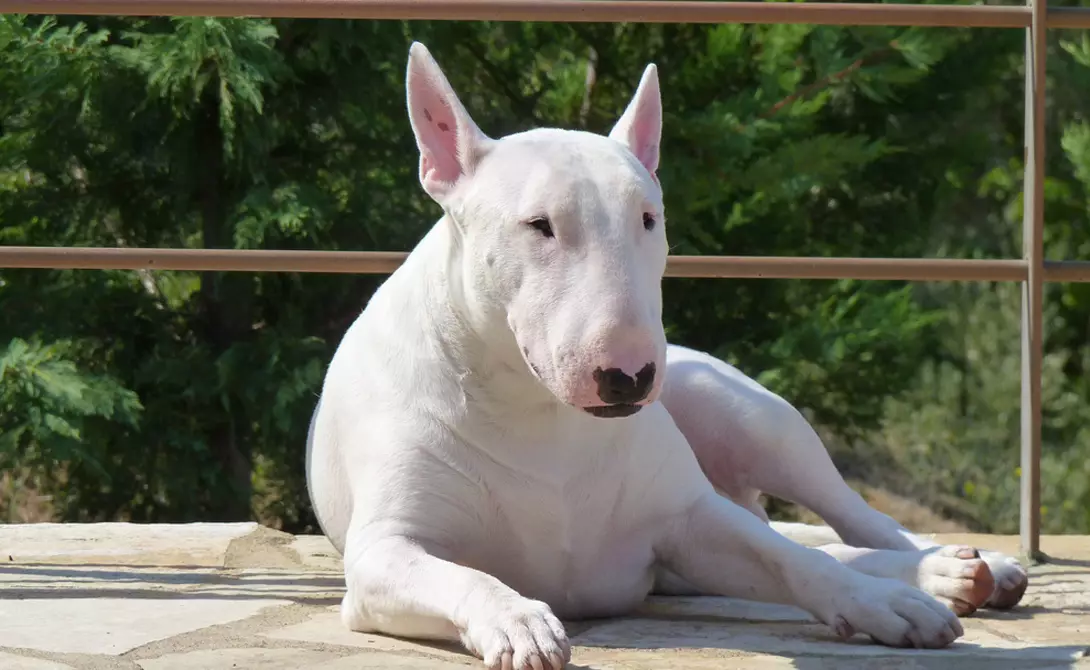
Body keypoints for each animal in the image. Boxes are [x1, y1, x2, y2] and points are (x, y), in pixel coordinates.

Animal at [305, 44, 1020, 670]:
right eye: (539, 225)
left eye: (649, 219)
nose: (629, 377)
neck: (539, 416)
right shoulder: (381, 554)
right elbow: (466, 577)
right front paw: (519, 619)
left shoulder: (689, 518)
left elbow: (794, 561)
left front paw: (883, 604)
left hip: (754, 421)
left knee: (850, 521)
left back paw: (950, 567)